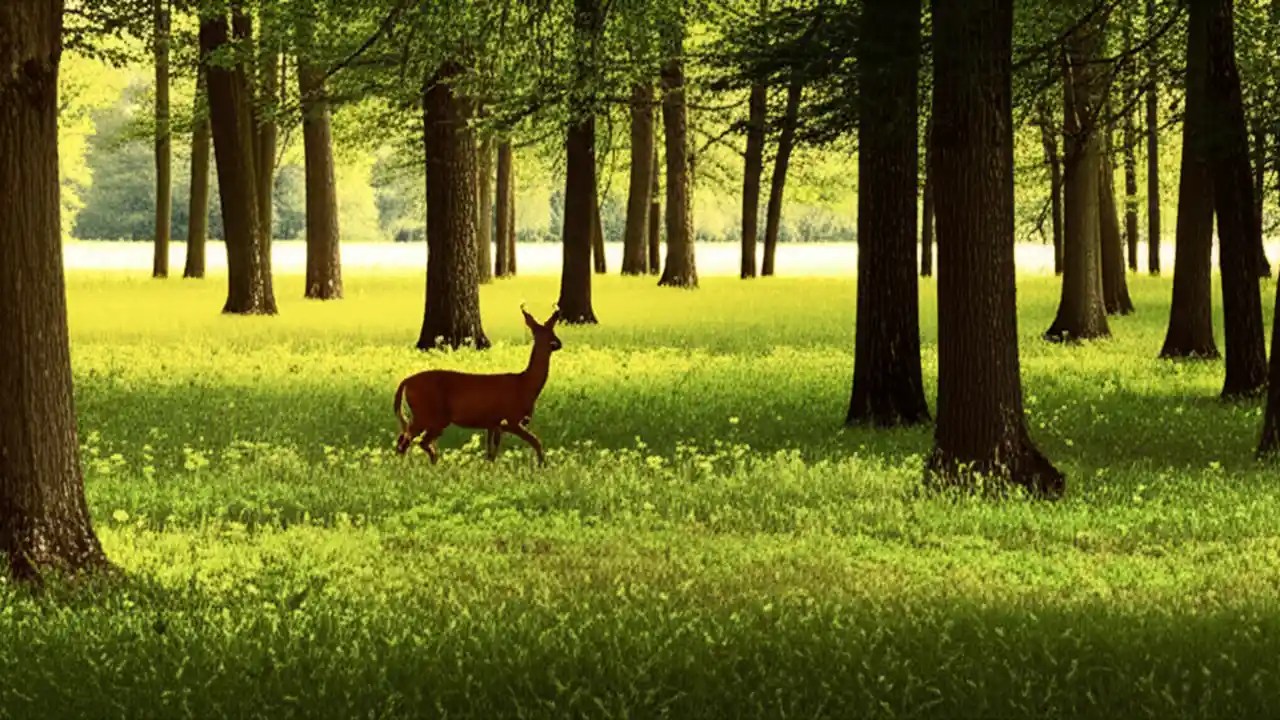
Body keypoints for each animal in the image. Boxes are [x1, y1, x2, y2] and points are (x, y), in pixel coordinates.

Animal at [393, 304, 562, 465]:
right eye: (542, 333)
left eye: (552, 331)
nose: (558, 343)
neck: (525, 384)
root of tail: (406, 381)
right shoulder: (510, 419)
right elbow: (536, 441)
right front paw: (542, 465)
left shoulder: (494, 422)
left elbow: (492, 452)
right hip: (429, 414)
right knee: (414, 441)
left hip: (424, 415)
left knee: (406, 438)